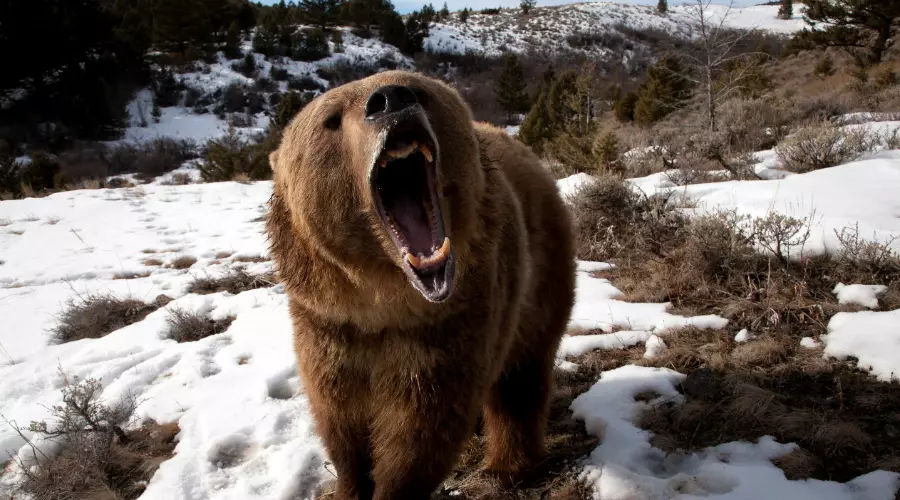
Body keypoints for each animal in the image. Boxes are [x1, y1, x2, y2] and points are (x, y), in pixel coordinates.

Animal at [266, 71, 576, 500]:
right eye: (330, 119)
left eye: (419, 90)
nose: (390, 100)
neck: (382, 300)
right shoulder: (328, 325)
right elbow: (340, 420)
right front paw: (349, 484)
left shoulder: (449, 323)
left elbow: (421, 428)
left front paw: (392, 486)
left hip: (539, 274)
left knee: (520, 377)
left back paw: (506, 467)